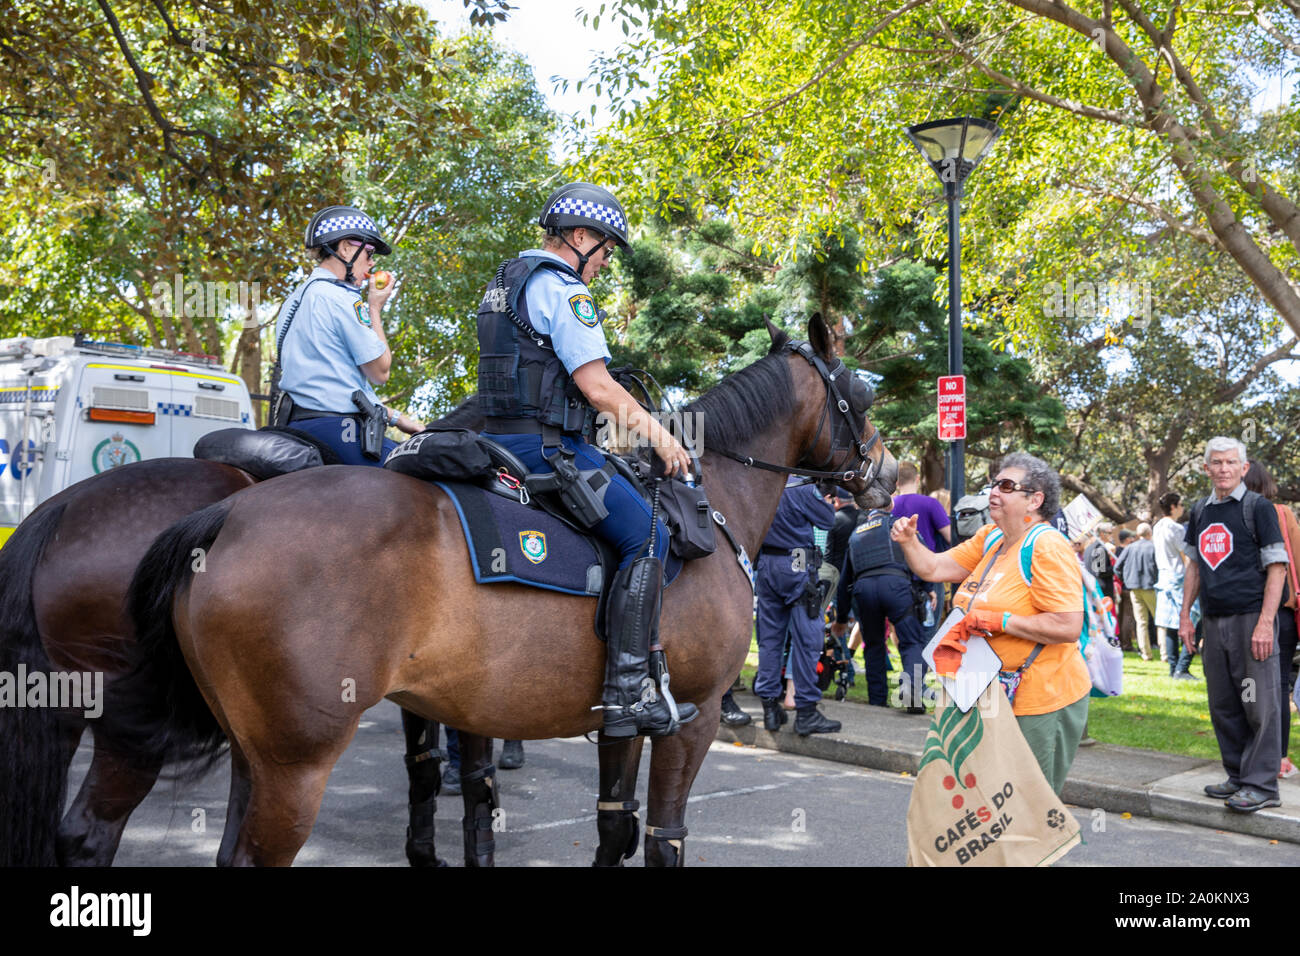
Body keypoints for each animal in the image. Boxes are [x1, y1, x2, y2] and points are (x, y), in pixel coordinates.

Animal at [119, 315, 897, 866]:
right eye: (859, 396)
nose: (887, 472)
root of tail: (228, 515)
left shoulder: (617, 721)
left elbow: (613, 829)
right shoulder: (696, 714)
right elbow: (663, 838)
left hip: (254, 759)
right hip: (295, 764)